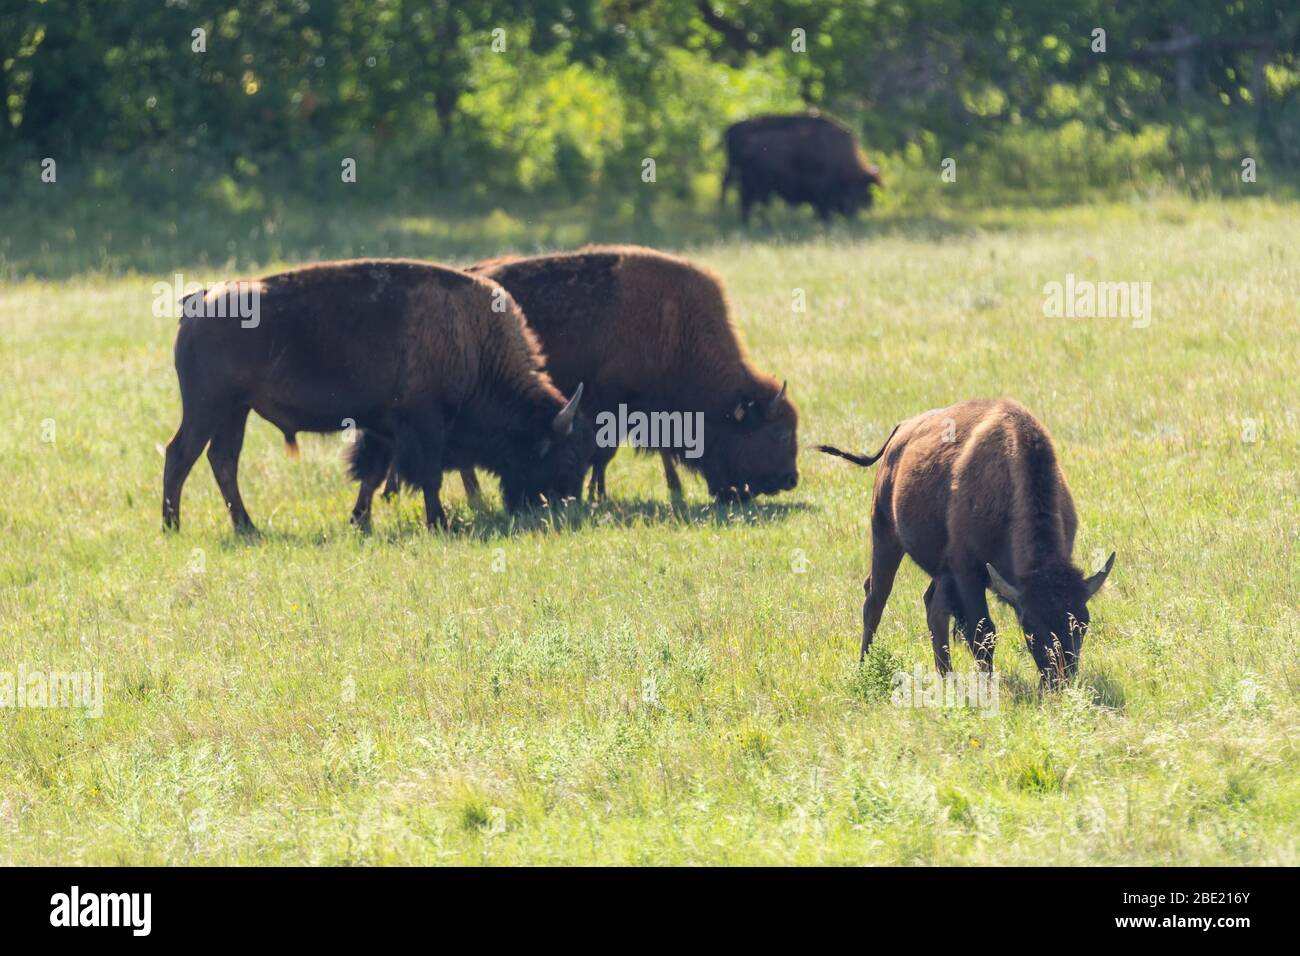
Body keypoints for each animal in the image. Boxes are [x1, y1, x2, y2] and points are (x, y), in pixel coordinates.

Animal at [162, 259, 593, 534]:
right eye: (567, 456)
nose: (567, 506)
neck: (472, 339)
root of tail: (200, 299)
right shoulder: (425, 425)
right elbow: (429, 476)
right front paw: (439, 523)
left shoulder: (385, 428)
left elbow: (372, 475)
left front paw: (360, 521)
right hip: (208, 408)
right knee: (181, 454)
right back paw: (173, 526)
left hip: (235, 411)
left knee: (223, 460)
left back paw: (246, 527)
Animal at [722, 113, 882, 224]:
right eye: (866, 189)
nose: (865, 209)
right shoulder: (823, 194)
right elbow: (823, 210)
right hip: (752, 186)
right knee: (745, 201)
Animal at [820, 400, 1114, 686]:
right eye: (1029, 624)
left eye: (1083, 623)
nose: (1060, 679)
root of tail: (901, 432)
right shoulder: (967, 574)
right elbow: (983, 633)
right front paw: (987, 686)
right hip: (885, 534)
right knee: (875, 599)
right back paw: (865, 668)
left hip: (938, 570)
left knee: (932, 607)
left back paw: (945, 675)